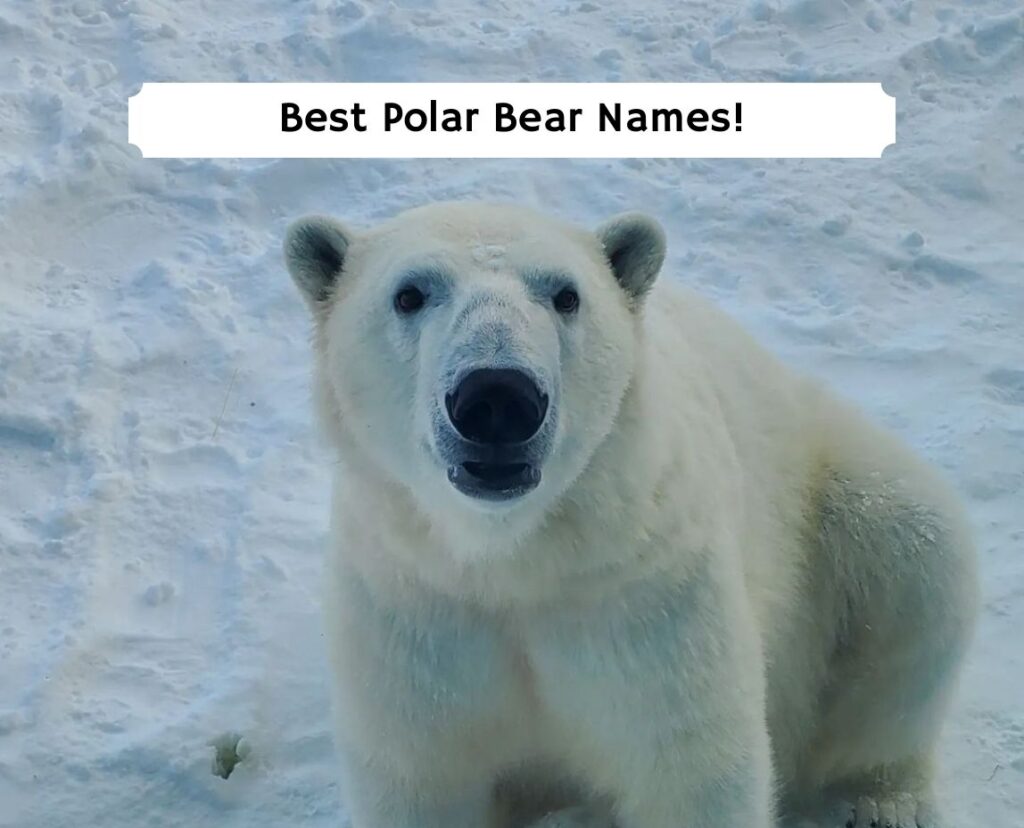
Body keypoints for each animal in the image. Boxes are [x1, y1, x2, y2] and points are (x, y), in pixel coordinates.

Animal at [283, 202, 979, 828]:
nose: (497, 397)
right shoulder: (419, 611)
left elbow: (690, 767)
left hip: (829, 501)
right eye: (409, 293)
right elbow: (423, 773)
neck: (517, 558)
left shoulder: (641, 593)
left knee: (914, 565)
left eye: (566, 295)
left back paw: (882, 803)